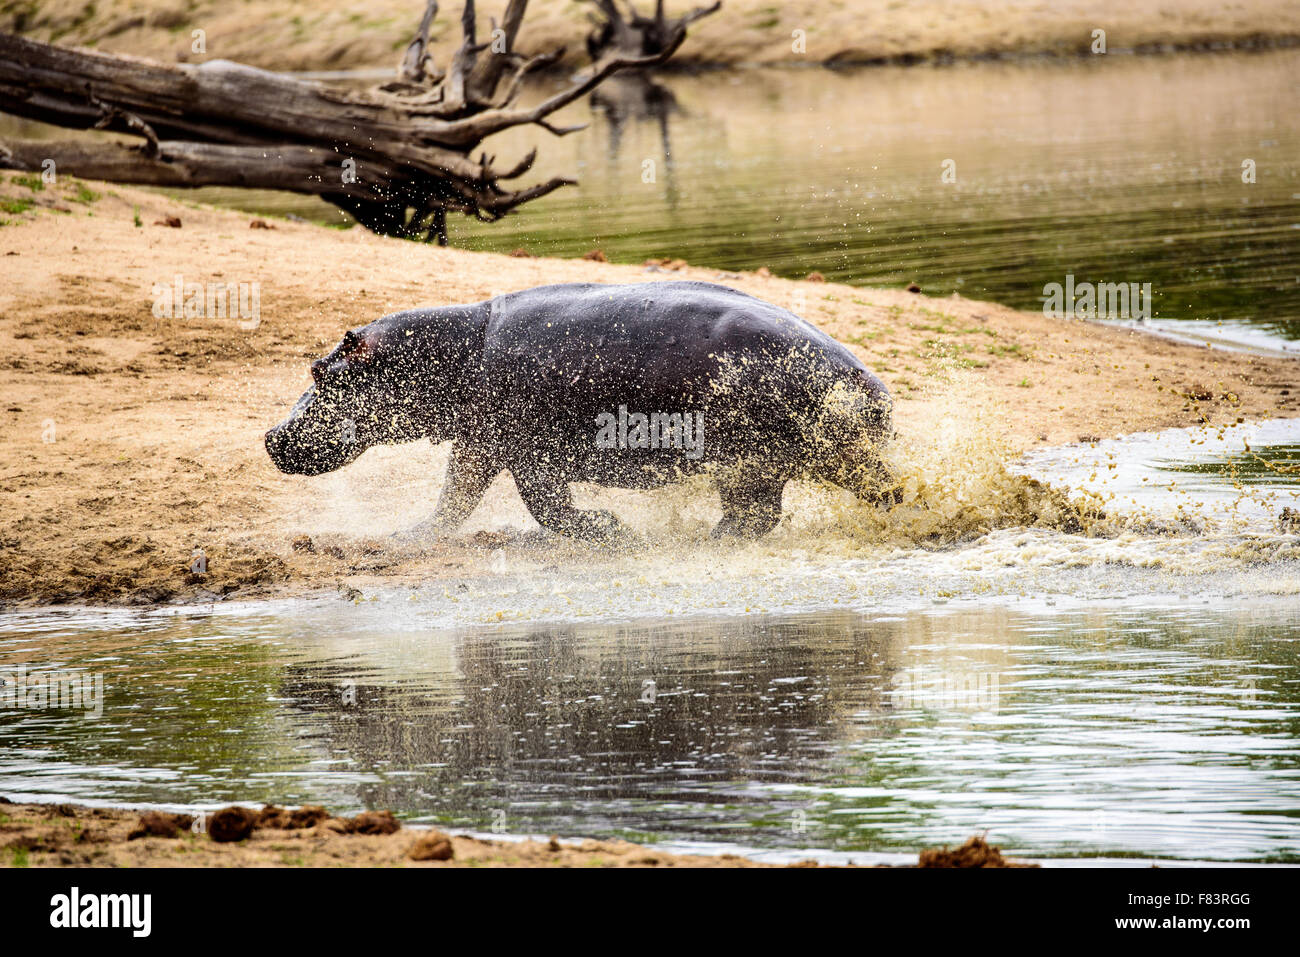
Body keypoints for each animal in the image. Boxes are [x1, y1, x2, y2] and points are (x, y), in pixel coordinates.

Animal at [265, 281, 896, 540]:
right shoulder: (479, 442)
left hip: (778, 455)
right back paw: (711, 536)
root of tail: (869, 382)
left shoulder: (525, 450)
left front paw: (608, 529)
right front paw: (412, 534)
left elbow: (546, 506)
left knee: (858, 493)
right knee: (761, 513)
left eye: (318, 372)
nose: (270, 435)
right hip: (754, 463)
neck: (453, 348)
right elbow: (454, 497)